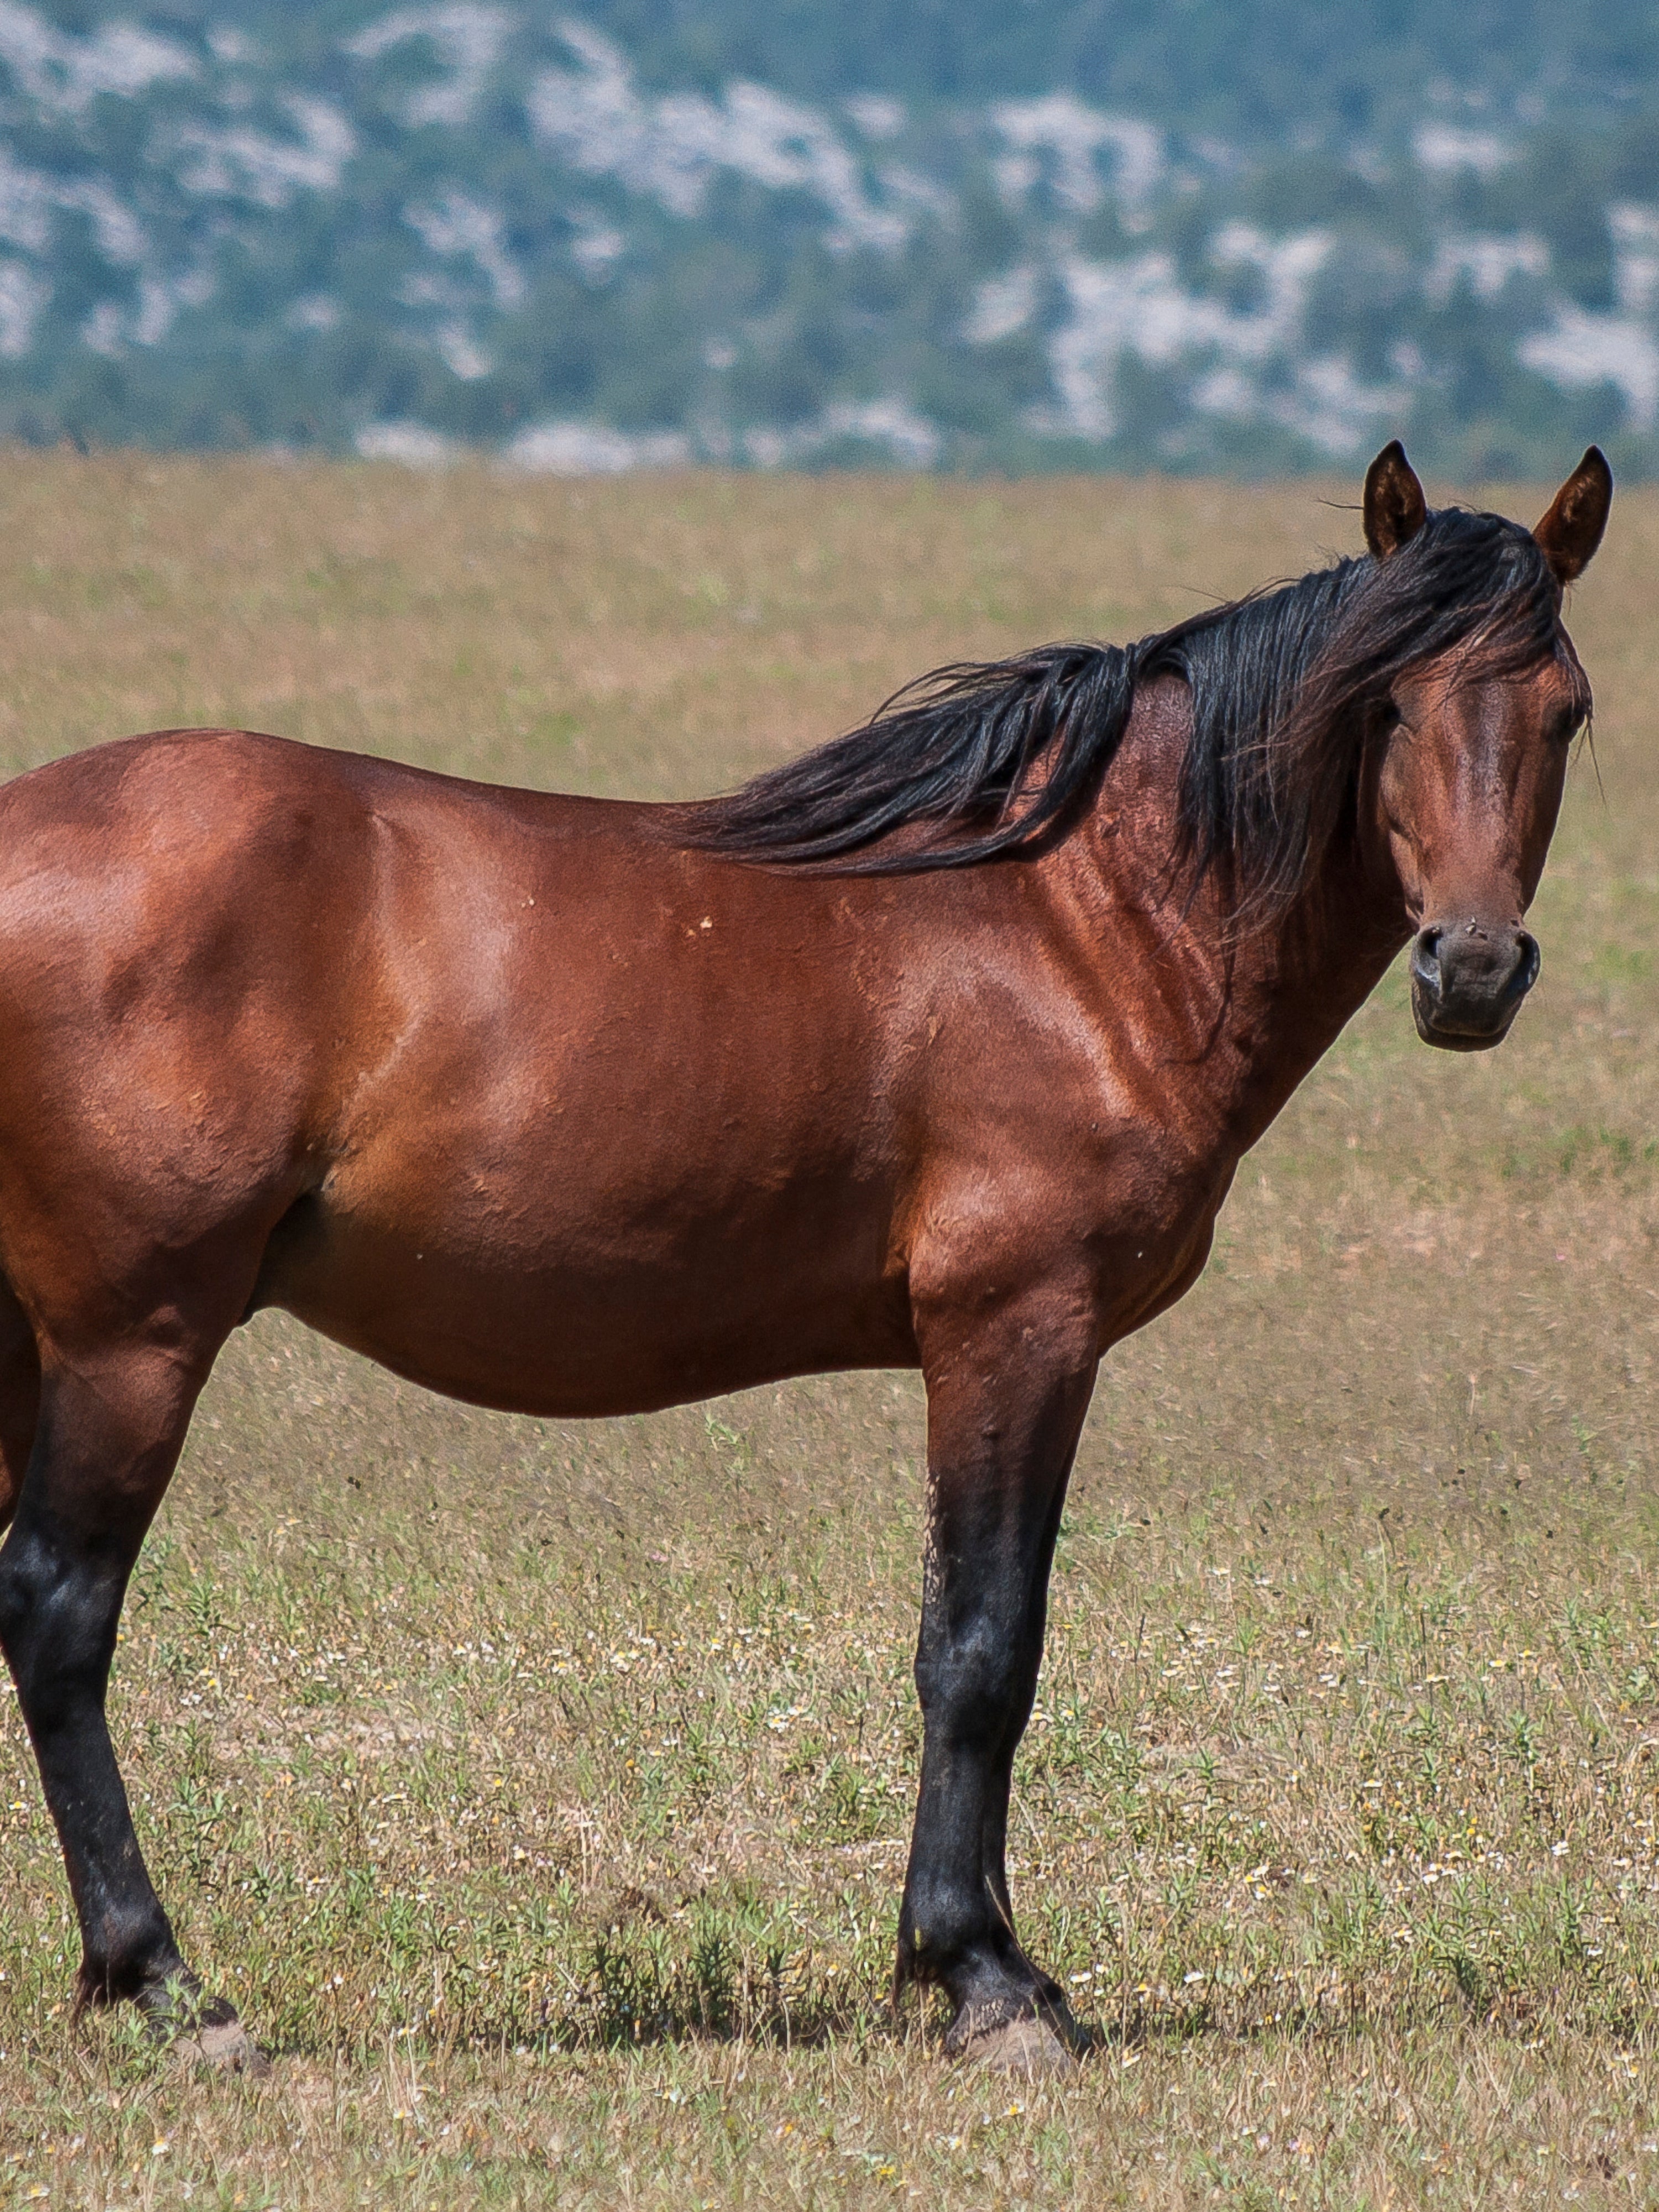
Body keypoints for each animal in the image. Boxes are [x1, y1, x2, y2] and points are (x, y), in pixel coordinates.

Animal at [0, 442, 1611, 2075]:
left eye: (1566, 709)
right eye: (1388, 704)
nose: (1472, 968)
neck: (1080, 919)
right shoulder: (1014, 1332)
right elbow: (980, 1649)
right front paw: (983, 1977)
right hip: (133, 1339)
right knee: (58, 1612)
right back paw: (166, 1987)